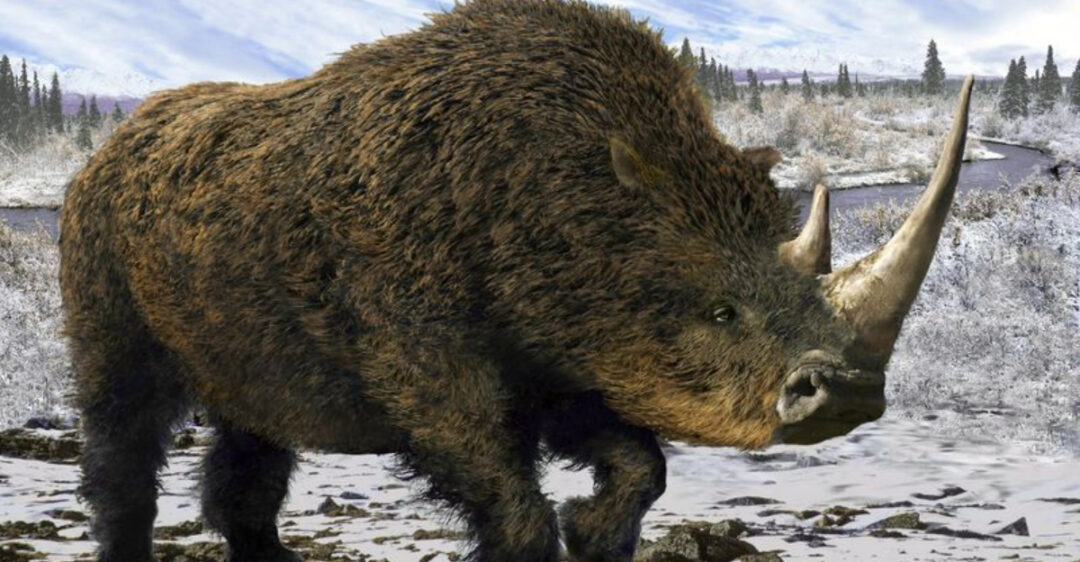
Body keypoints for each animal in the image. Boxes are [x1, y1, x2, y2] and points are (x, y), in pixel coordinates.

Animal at [58, 1, 972, 560]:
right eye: (720, 310)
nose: (848, 394)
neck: (577, 206)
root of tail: (103, 151)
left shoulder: (570, 354)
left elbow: (641, 464)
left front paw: (594, 530)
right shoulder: (425, 366)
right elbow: (511, 502)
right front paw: (558, 530)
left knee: (253, 429)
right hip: (99, 264)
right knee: (124, 425)